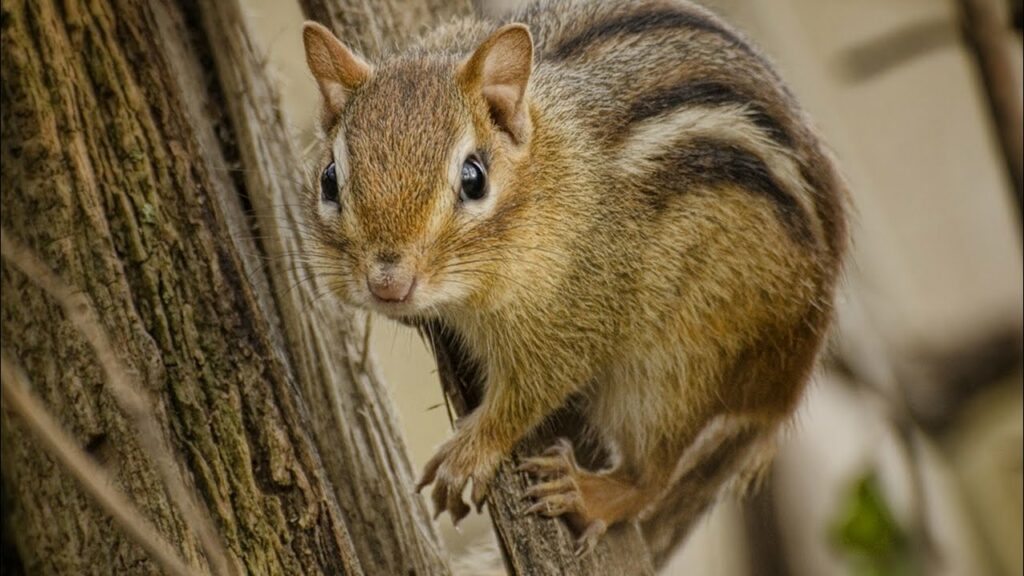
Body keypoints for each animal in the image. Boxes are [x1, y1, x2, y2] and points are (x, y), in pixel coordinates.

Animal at [301, 0, 847, 559]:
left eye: (474, 179)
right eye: (329, 179)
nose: (388, 283)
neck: (551, 164)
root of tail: (781, 396)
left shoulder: (581, 311)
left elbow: (531, 391)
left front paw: (470, 454)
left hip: (678, 370)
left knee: (650, 473)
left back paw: (590, 494)